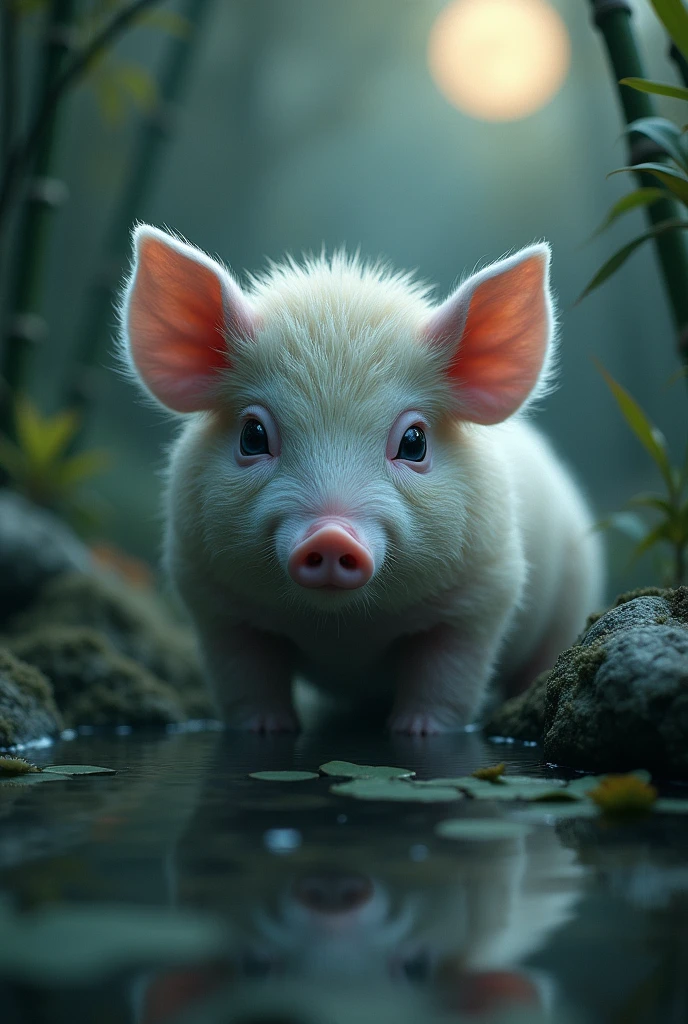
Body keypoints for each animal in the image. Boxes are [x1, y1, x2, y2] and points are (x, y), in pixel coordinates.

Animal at [119, 225, 604, 734]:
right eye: (252, 435)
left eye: (414, 442)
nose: (331, 535)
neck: (345, 632)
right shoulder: (211, 594)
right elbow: (245, 678)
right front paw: (266, 729)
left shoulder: (484, 588)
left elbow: (448, 676)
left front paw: (417, 731)